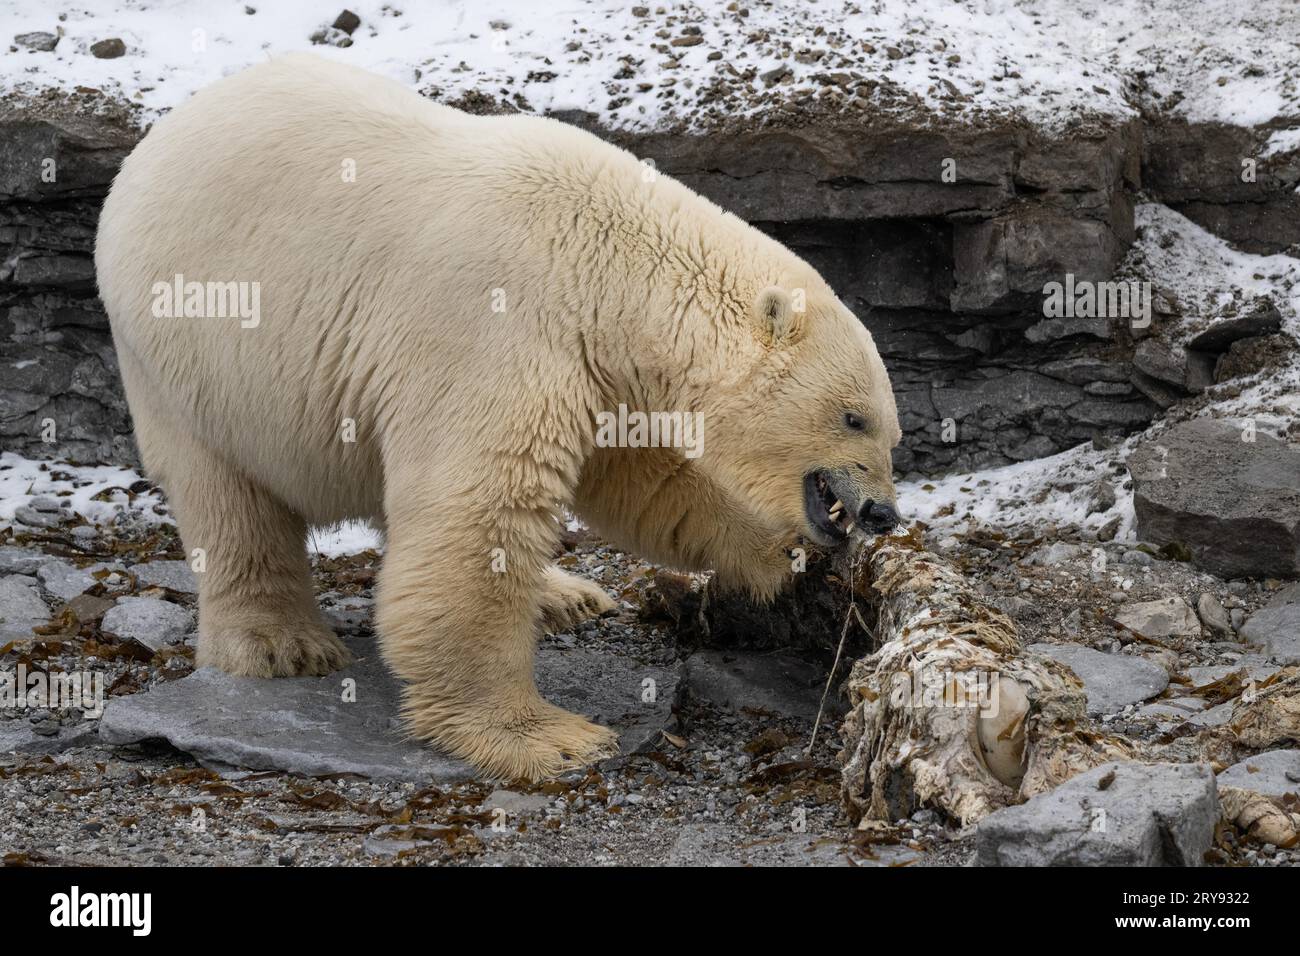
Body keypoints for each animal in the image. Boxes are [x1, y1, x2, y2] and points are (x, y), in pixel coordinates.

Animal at [94, 54, 903, 781]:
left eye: (890, 429)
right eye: (854, 418)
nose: (884, 513)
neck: (605, 255)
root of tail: (157, 138)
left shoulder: (597, 366)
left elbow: (641, 480)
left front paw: (775, 552)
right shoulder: (495, 323)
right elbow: (481, 508)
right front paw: (545, 736)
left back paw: (562, 596)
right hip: (189, 357)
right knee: (229, 498)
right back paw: (280, 644)